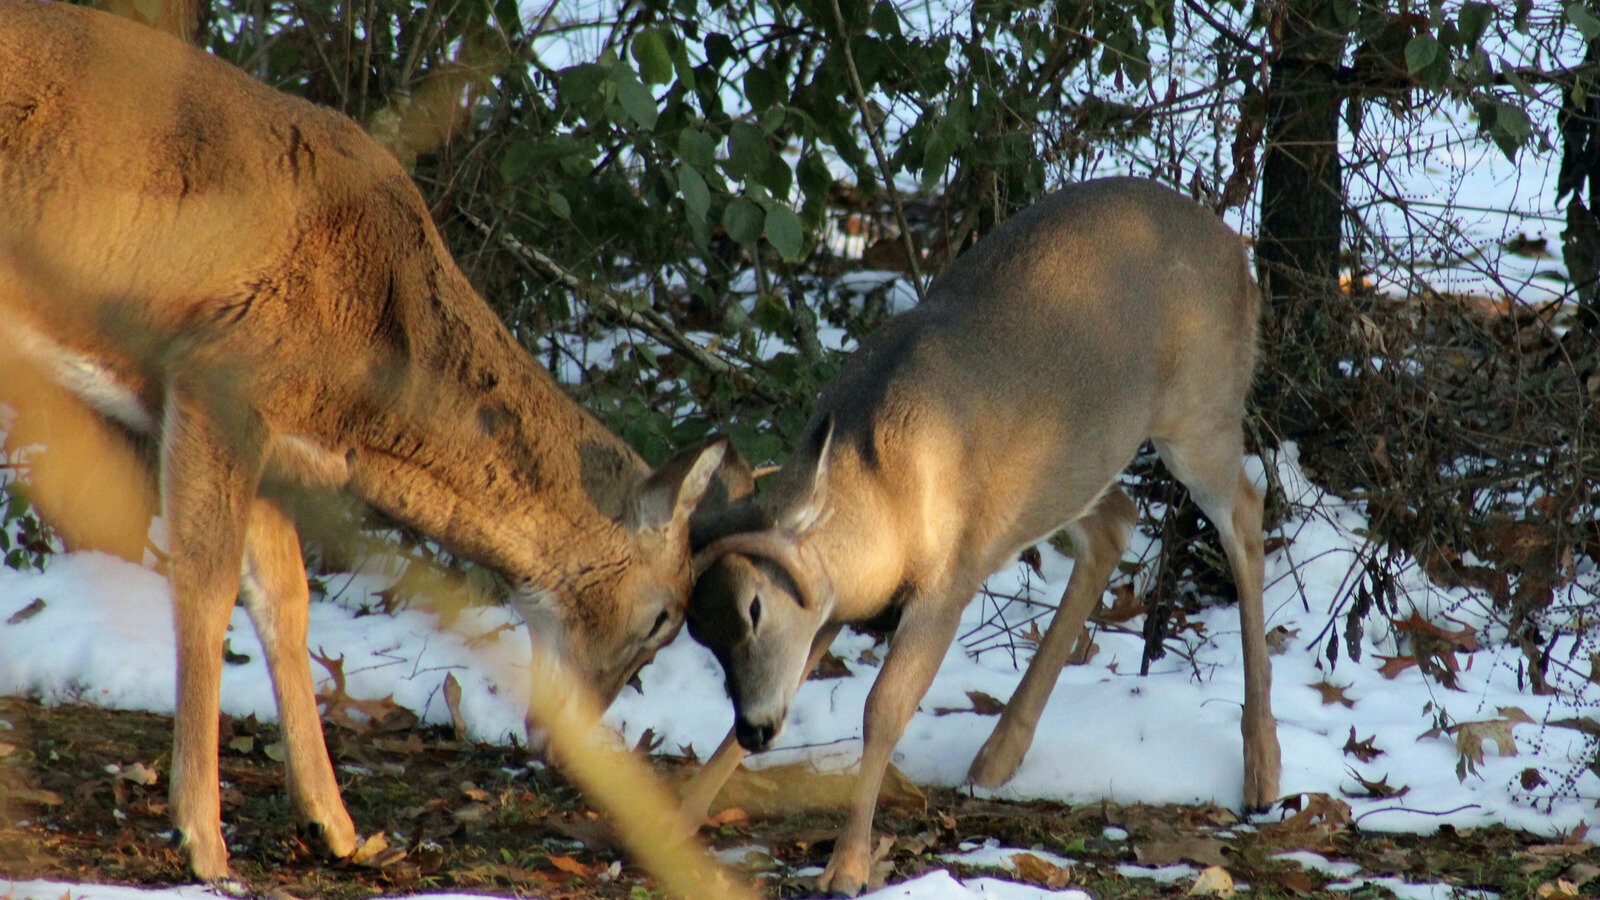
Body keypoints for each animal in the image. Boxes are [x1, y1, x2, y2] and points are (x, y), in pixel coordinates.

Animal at [0, 0, 728, 881]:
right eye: (664, 618)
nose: (567, 744)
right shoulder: (218, 377)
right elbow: (206, 593)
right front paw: (203, 840)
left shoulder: (276, 440)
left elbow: (287, 603)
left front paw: (337, 827)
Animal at [683, 176, 1283, 896]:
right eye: (695, 629)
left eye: (753, 607)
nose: (755, 728)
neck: (882, 496)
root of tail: (1237, 253)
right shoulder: (833, 601)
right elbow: (799, 680)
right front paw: (672, 819)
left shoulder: (951, 577)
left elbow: (884, 708)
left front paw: (846, 867)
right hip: (1064, 466)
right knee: (1116, 520)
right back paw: (999, 752)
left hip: (1199, 410)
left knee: (1245, 514)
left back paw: (1262, 769)